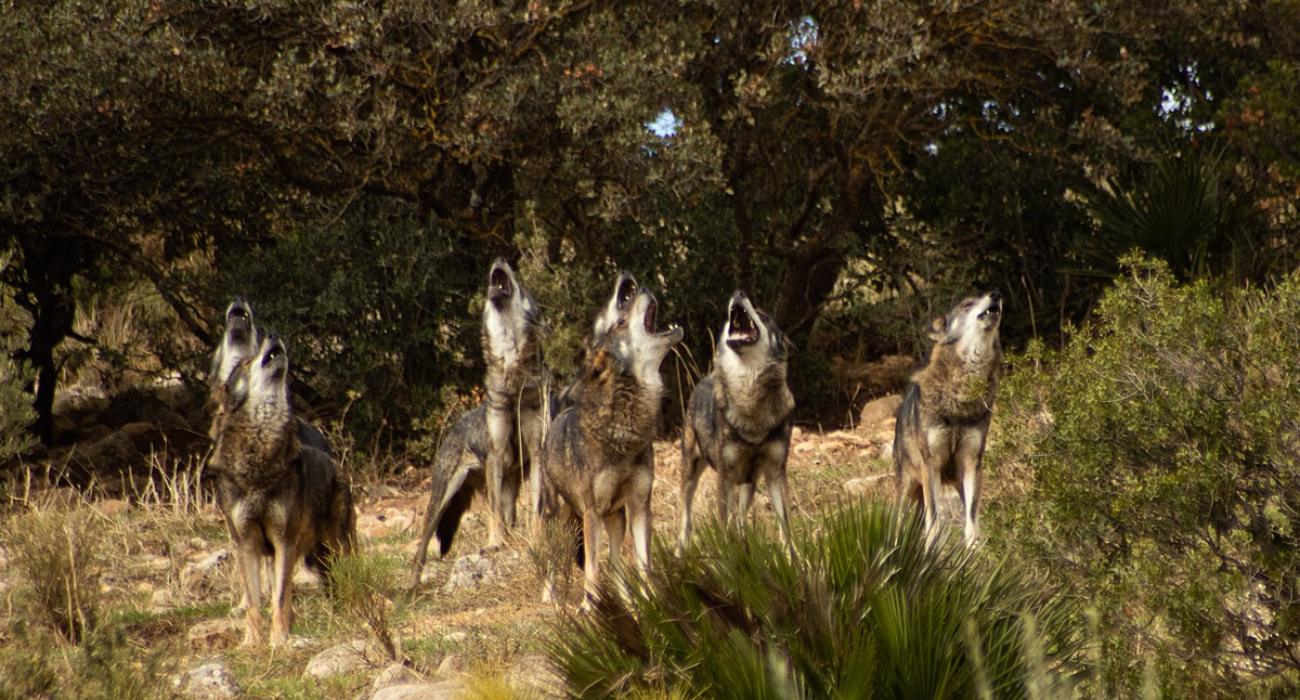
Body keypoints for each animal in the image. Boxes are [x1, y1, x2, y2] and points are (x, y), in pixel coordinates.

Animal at [209, 334, 356, 645]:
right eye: (246, 362)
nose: (273, 334)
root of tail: (335, 463)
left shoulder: (283, 541)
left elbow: (278, 598)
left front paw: (278, 641)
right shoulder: (247, 543)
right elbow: (254, 602)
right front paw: (252, 642)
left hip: (337, 546)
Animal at [408, 272, 639, 589]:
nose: (628, 278)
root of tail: (457, 423)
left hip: (509, 487)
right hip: (443, 497)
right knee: (422, 544)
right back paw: (412, 585)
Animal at [540, 288, 682, 608]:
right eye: (620, 322)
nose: (641, 289)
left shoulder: (641, 506)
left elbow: (643, 564)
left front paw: (651, 601)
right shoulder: (592, 512)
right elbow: (592, 567)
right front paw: (590, 607)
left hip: (616, 519)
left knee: (616, 563)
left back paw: (627, 599)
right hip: (559, 518)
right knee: (553, 558)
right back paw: (550, 596)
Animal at [677, 291, 795, 553]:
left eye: (762, 314)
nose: (738, 293)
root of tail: (705, 378)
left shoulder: (775, 472)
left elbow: (785, 527)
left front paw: (793, 560)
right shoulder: (725, 475)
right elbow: (724, 527)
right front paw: (730, 557)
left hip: (749, 483)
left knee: (740, 520)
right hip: (691, 473)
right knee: (686, 522)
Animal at [893, 291, 1002, 545]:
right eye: (967, 304)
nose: (996, 294)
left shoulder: (972, 462)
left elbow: (971, 522)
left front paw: (972, 552)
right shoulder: (931, 464)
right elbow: (934, 521)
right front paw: (932, 550)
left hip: (958, 483)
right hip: (907, 490)